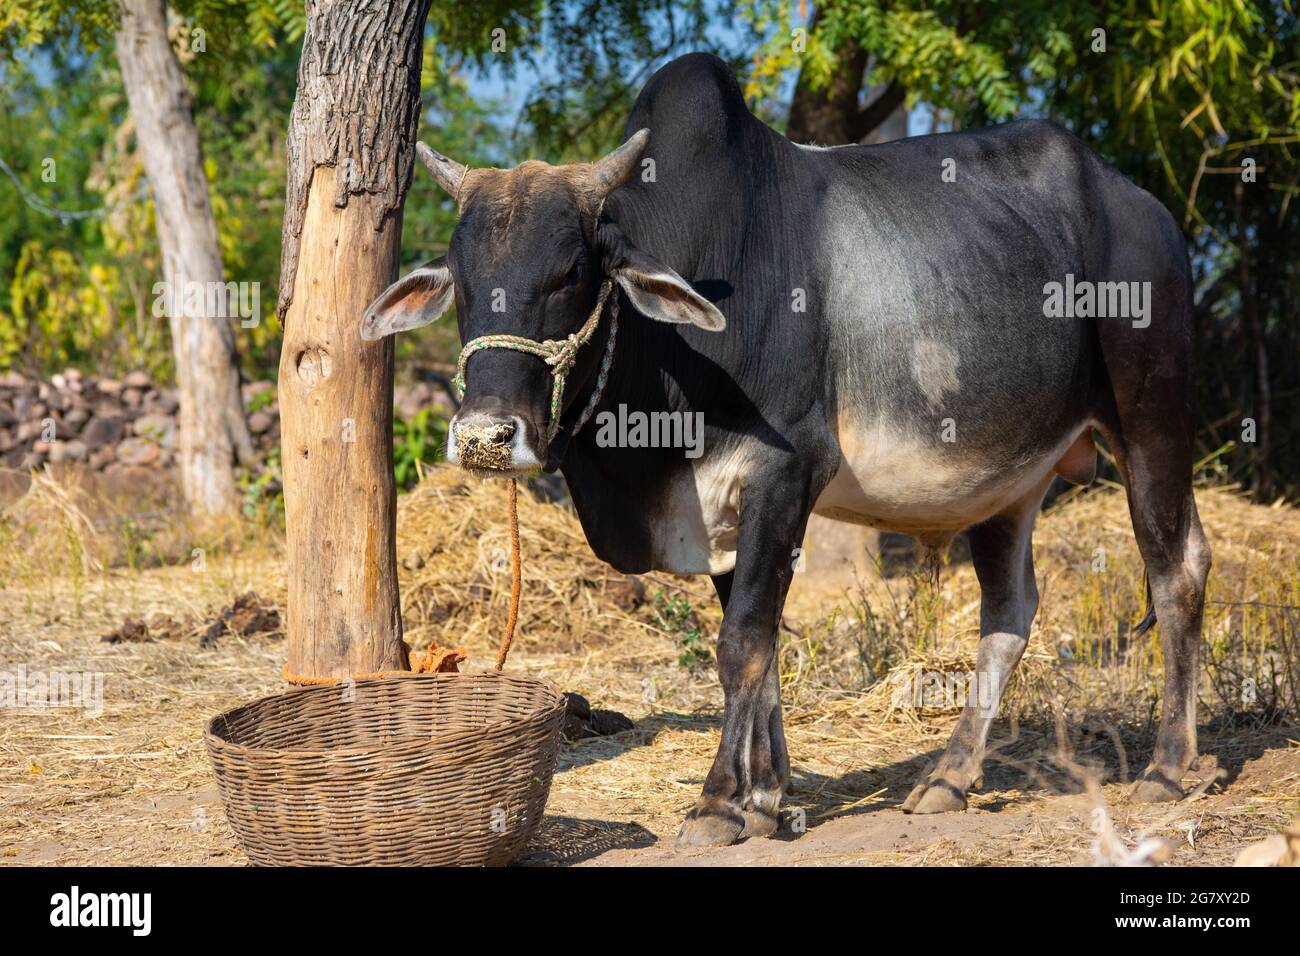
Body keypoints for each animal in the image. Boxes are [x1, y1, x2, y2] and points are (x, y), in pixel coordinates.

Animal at [361, 53, 1210, 847]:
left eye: (571, 271)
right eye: (462, 279)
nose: (485, 437)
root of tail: (1143, 206)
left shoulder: (783, 472)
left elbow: (742, 641)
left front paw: (717, 805)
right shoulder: (721, 512)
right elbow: (761, 645)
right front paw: (764, 799)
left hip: (1152, 420)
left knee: (1179, 567)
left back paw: (1168, 768)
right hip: (1010, 477)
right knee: (1008, 612)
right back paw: (947, 779)